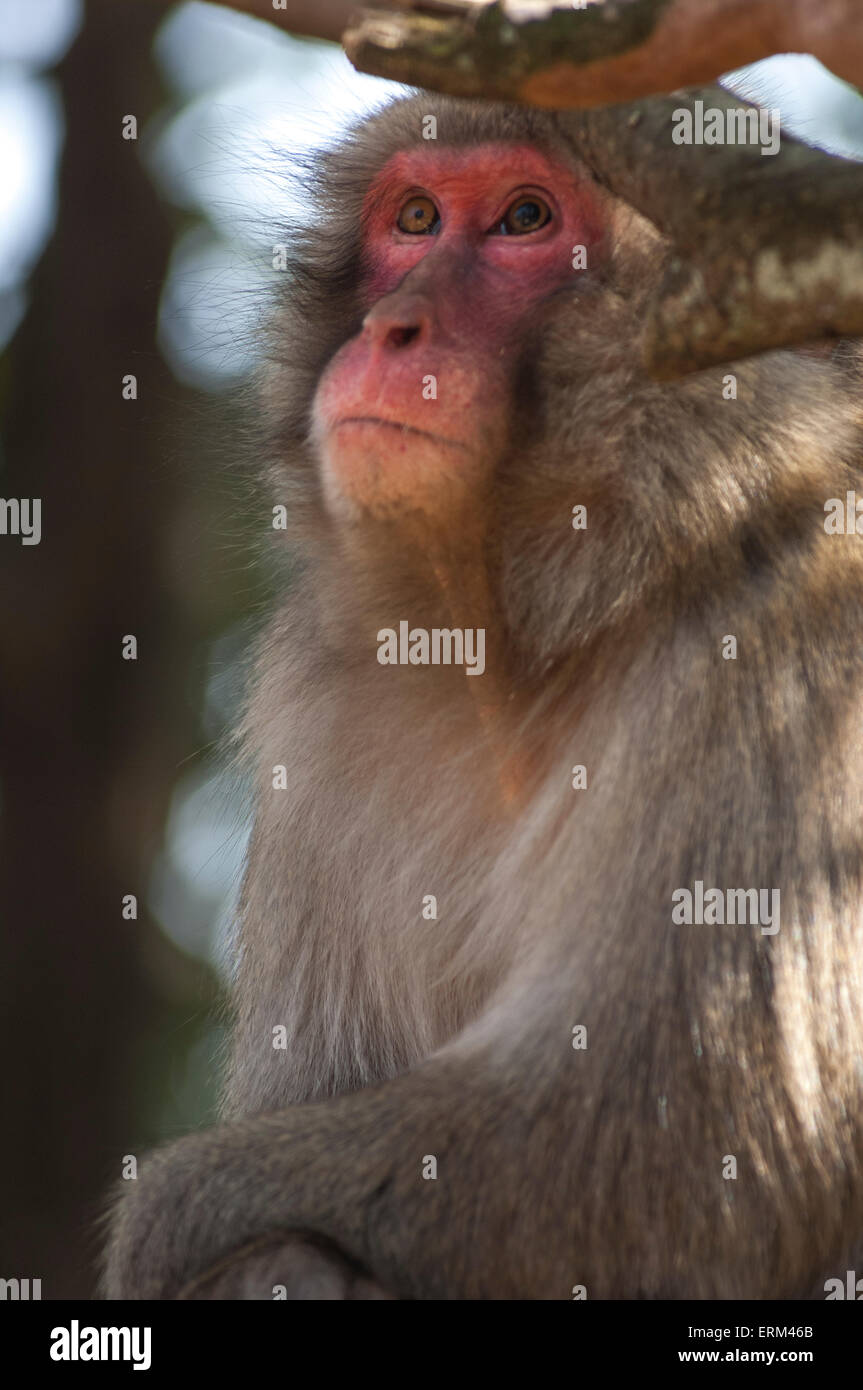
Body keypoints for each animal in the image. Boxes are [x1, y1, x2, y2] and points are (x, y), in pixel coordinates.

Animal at [105, 91, 863, 1300]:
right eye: (413, 219)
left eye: (522, 219)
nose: (391, 329)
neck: (537, 635)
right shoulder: (320, 713)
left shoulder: (796, 642)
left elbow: (680, 1141)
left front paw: (160, 1223)